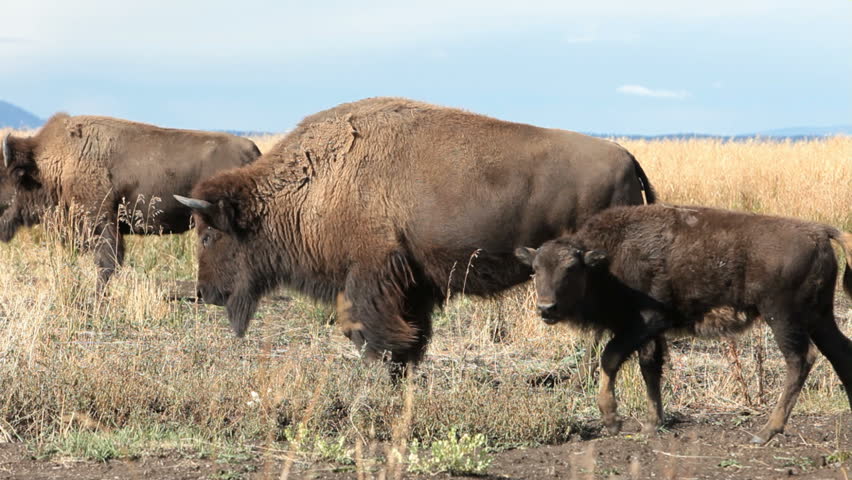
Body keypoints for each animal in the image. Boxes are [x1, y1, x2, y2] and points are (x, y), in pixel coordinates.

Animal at [173, 96, 656, 379]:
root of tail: (627, 156)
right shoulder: (408, 280)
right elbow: (406, 330)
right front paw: (402, 365)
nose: (206, 292)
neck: (316, 177)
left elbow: (368, 329)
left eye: (209, 237)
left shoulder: (371, 273)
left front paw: (385, 367)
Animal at [515, 204, 852, 444]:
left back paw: (766, 432)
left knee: (800, 360)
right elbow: (650, 369)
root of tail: (819, 232)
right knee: (840, 353)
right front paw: (652, 424)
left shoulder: (645, 322)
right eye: (535, 269)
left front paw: (612, 421)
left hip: (782, 317)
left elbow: (610, 358)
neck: (607, 261)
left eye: (571, 268)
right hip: (819, 316)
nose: (546, 308)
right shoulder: (650, 334)